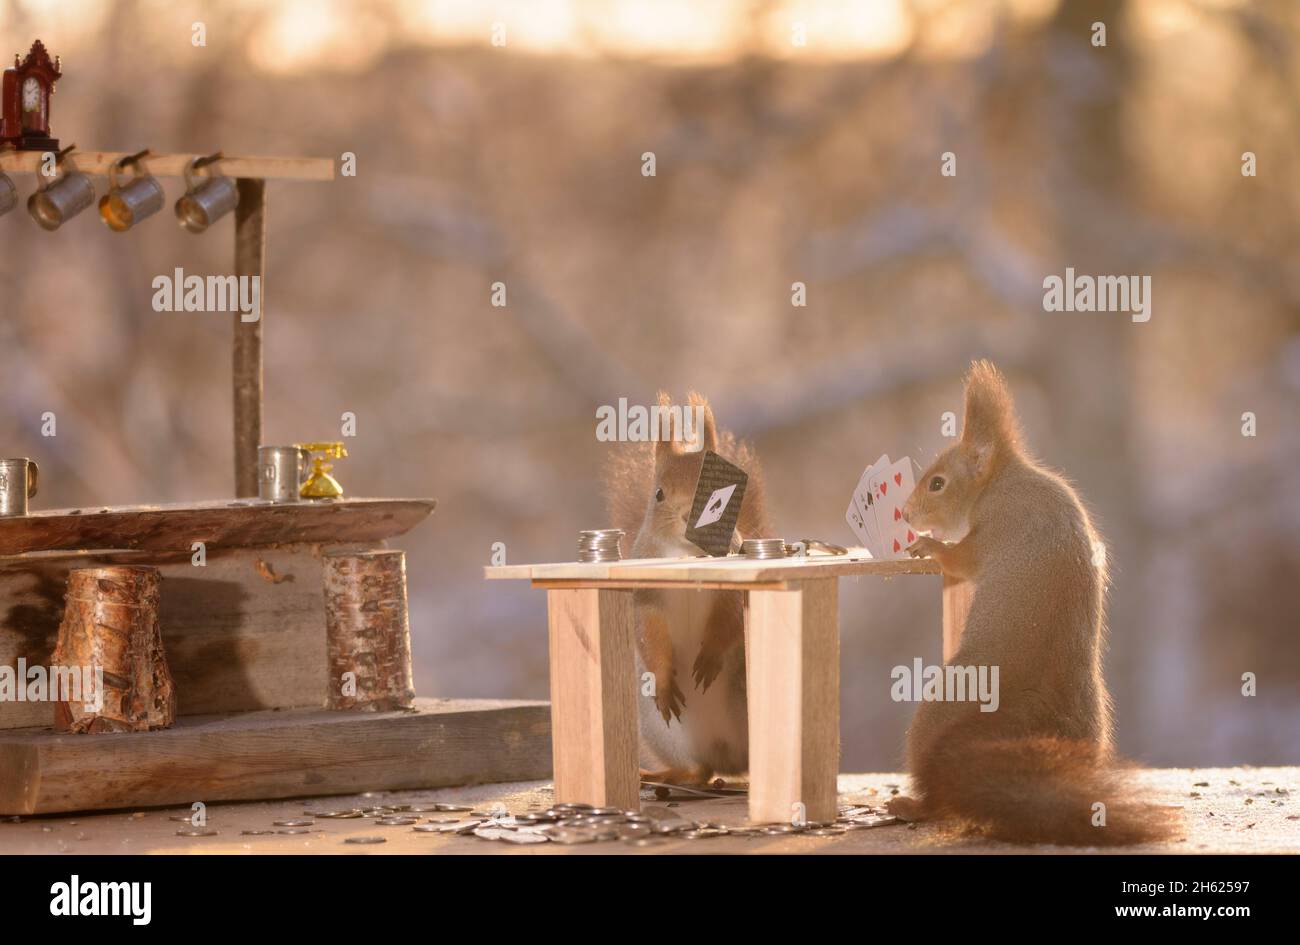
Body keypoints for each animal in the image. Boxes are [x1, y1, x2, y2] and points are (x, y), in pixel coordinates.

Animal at [603, 391, 774, 785]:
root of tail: (729, 759)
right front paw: (665, 682)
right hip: (661, 730)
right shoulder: (647, 597)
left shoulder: (729, 593)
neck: (685, 557)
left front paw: (709, 656)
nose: (687, 517)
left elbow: (728, 621)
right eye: (658, 494)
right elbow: (649, 634)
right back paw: (669, 775)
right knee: (701, 769)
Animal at [891, 360, 1180, 845]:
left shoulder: (997, 527)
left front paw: (928, 546)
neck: (1000, 482)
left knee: (937, 802)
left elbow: (961, 559)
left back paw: (910, 805)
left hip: (937, 711)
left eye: (937, 483)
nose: (908, 515)